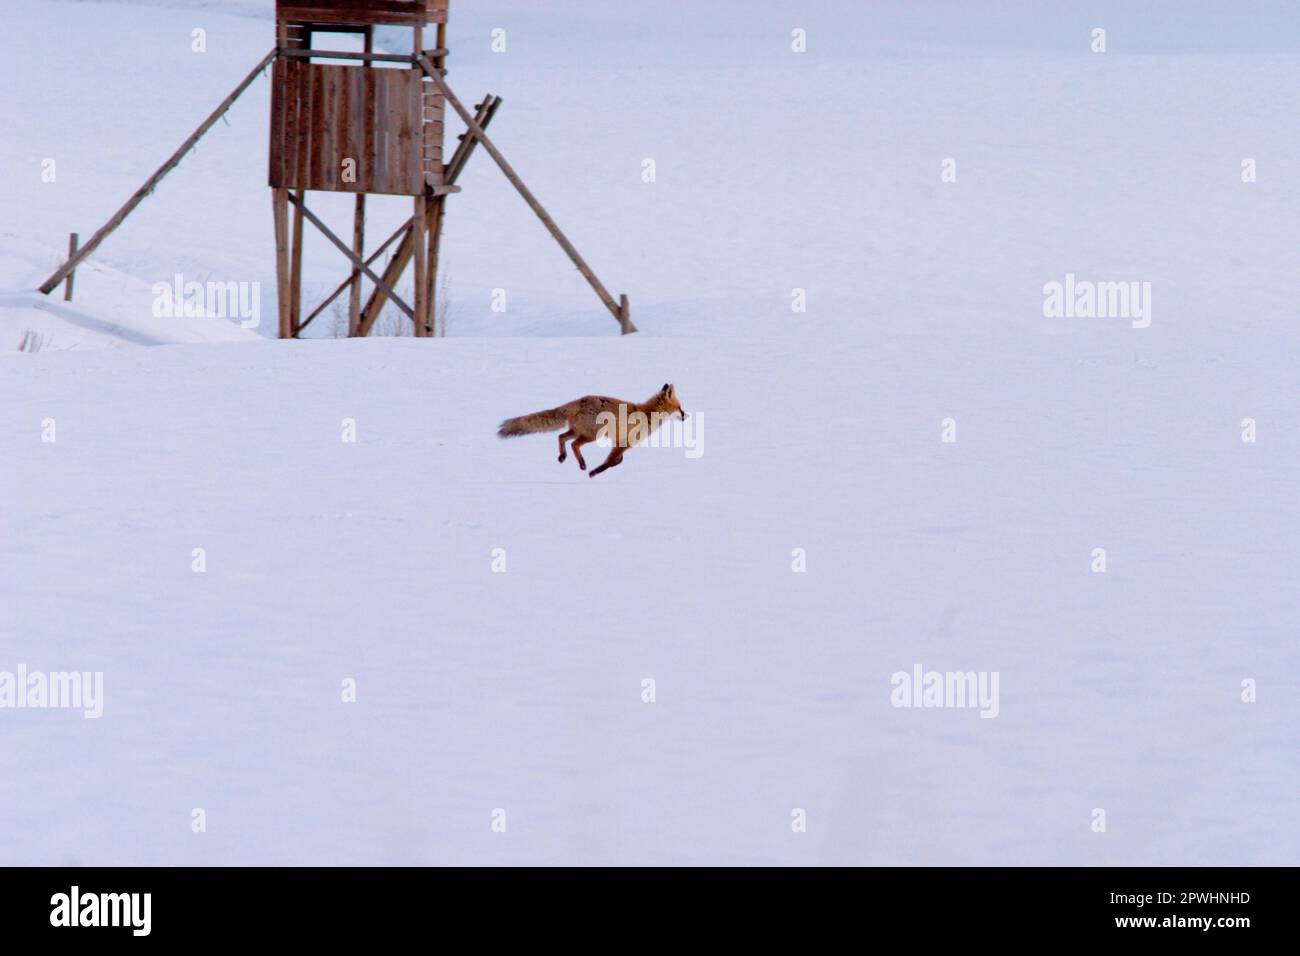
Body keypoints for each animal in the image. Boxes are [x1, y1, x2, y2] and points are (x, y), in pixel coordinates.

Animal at [498, 384, 687, 478]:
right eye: (680, 408)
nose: (686, 416)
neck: (647, 415)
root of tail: (579, 400)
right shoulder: (623, 443)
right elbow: (609, 461)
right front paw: (595, 472)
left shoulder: (618, 442)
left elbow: (617, 461)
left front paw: (606, 467)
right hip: (592, 435)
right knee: (573, 444)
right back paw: (582, 464)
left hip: (579, 431)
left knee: (561, 437)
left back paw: (563, 457)